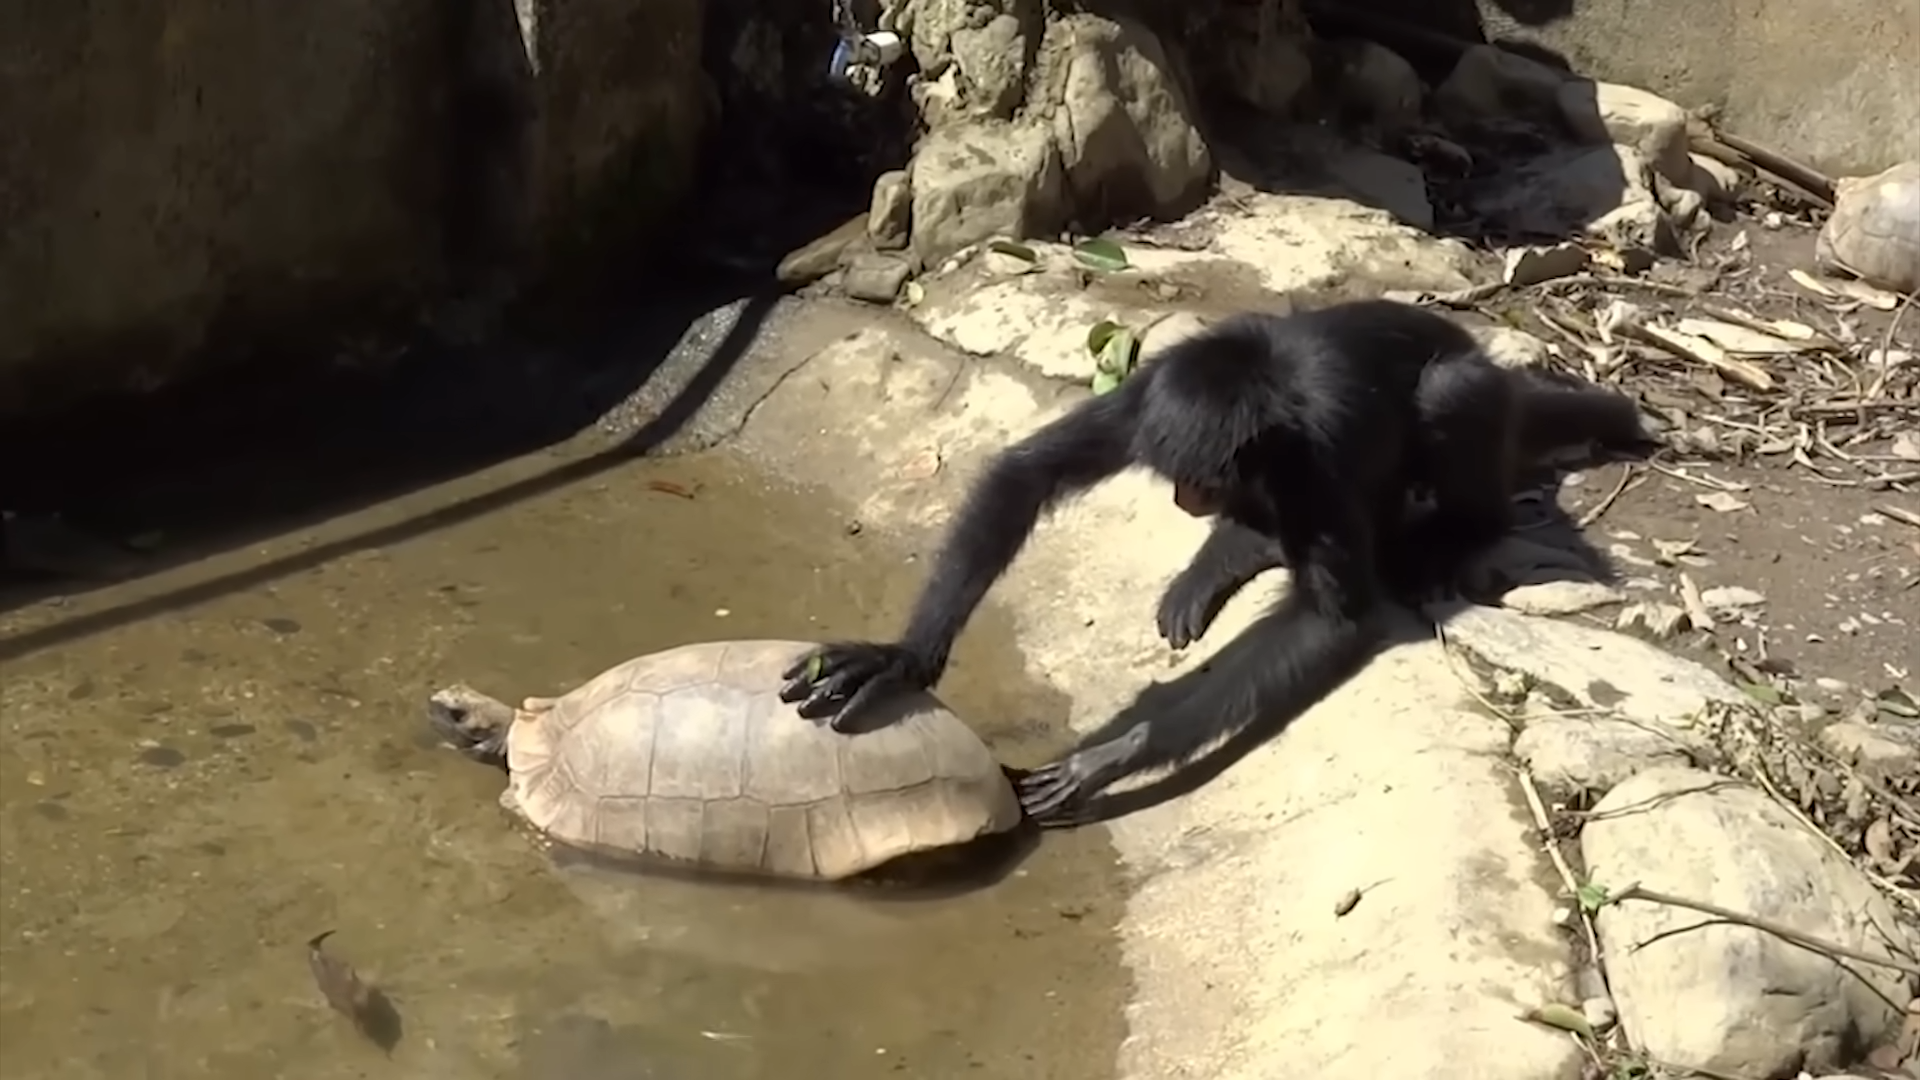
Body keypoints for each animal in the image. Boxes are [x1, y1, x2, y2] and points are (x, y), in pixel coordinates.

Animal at [778, 299, 1649, 824]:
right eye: (1180, 472)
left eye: (1205, 473)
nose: (1187, 497)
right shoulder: (1150, 395)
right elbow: (1026, 474)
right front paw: (899, 659)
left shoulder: (1313, 459)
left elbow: (1333, 622)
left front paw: (1117, 755)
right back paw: (1239, 547)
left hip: (1467, 410)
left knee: (1449, 395)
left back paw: (1447, 540)